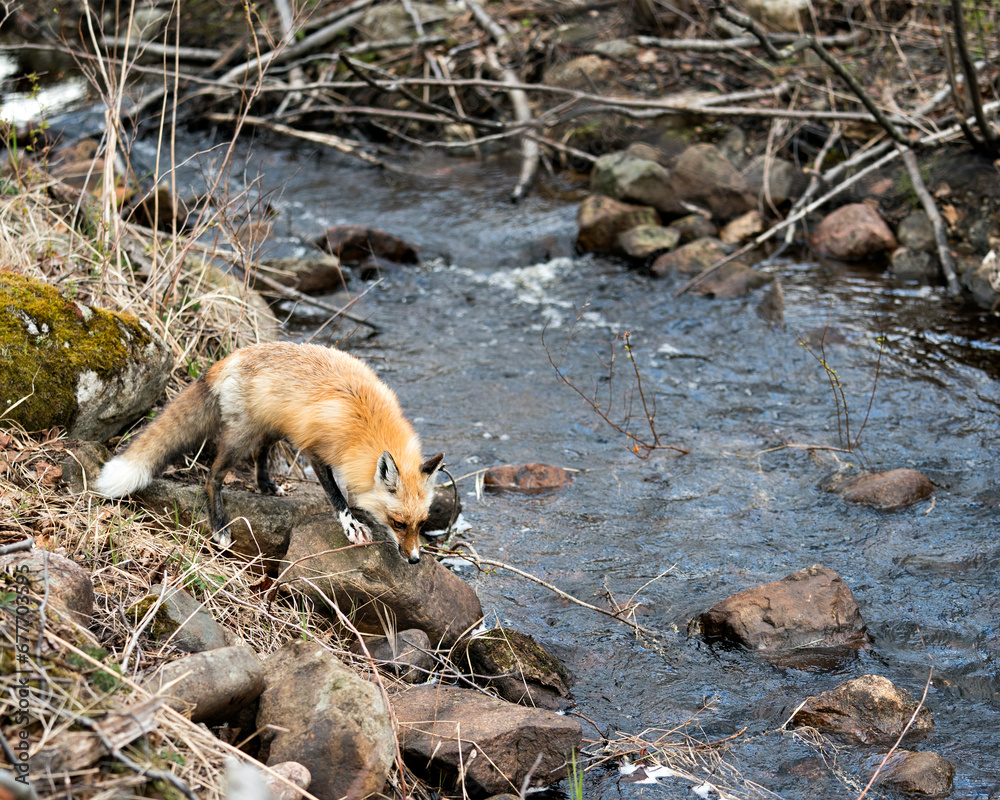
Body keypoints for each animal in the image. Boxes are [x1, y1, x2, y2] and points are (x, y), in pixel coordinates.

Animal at [95, 342, 443, 563]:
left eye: (421, 523)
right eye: (398, 523)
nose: (414, 560)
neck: (366, 423)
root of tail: (229, 357)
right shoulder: (315, 451)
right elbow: (336, 496)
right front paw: (351, 525)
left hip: (273, 426)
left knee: (261, 453)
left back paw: (266, 485)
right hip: (240, 437)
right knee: (213, 477)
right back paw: (220, 525)